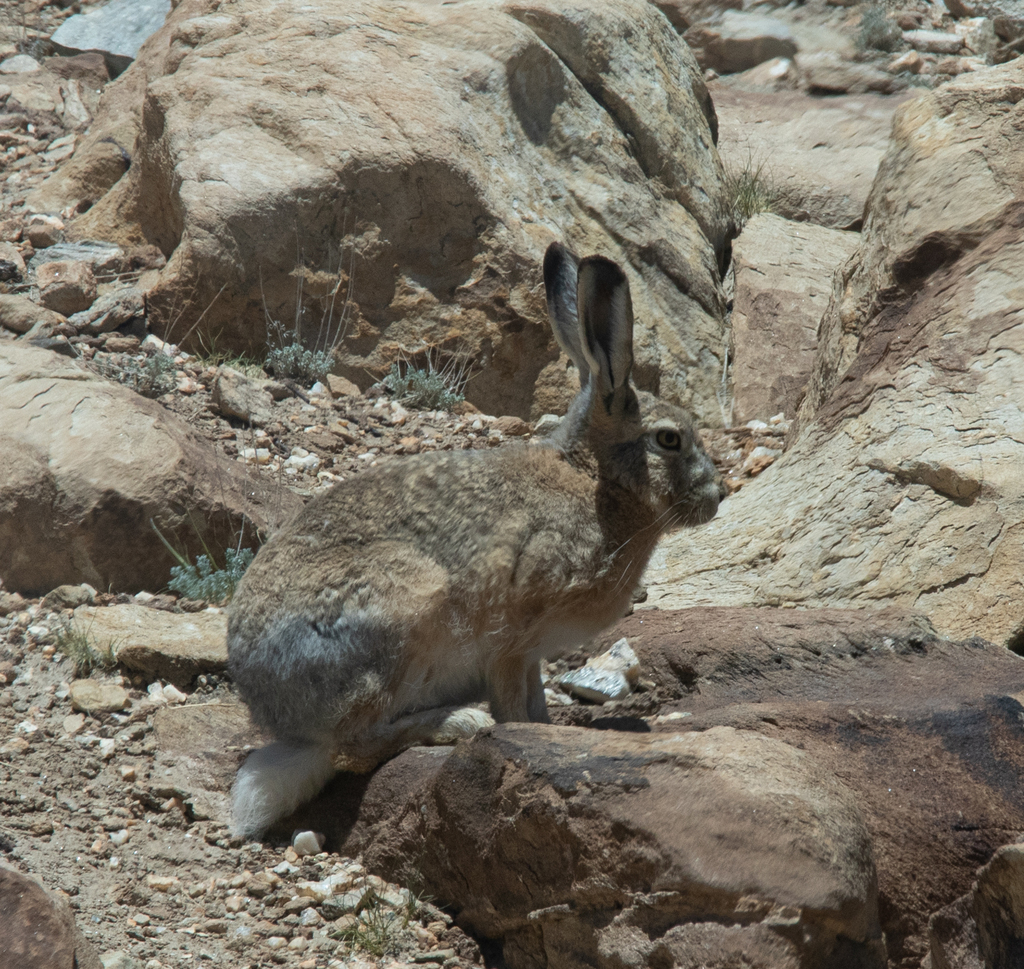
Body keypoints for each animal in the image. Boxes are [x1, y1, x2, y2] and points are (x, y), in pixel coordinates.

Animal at [227, 242, 726, 838]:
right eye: (669, 440)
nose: (718, 496)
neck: (594, 479)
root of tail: (274, 709)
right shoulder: (511, 636)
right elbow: (514, 707)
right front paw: (521, 731)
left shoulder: (532, 653)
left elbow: (535, 705)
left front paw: (555, 730)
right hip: (402, 606)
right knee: (354, 745)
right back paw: (460, 722)